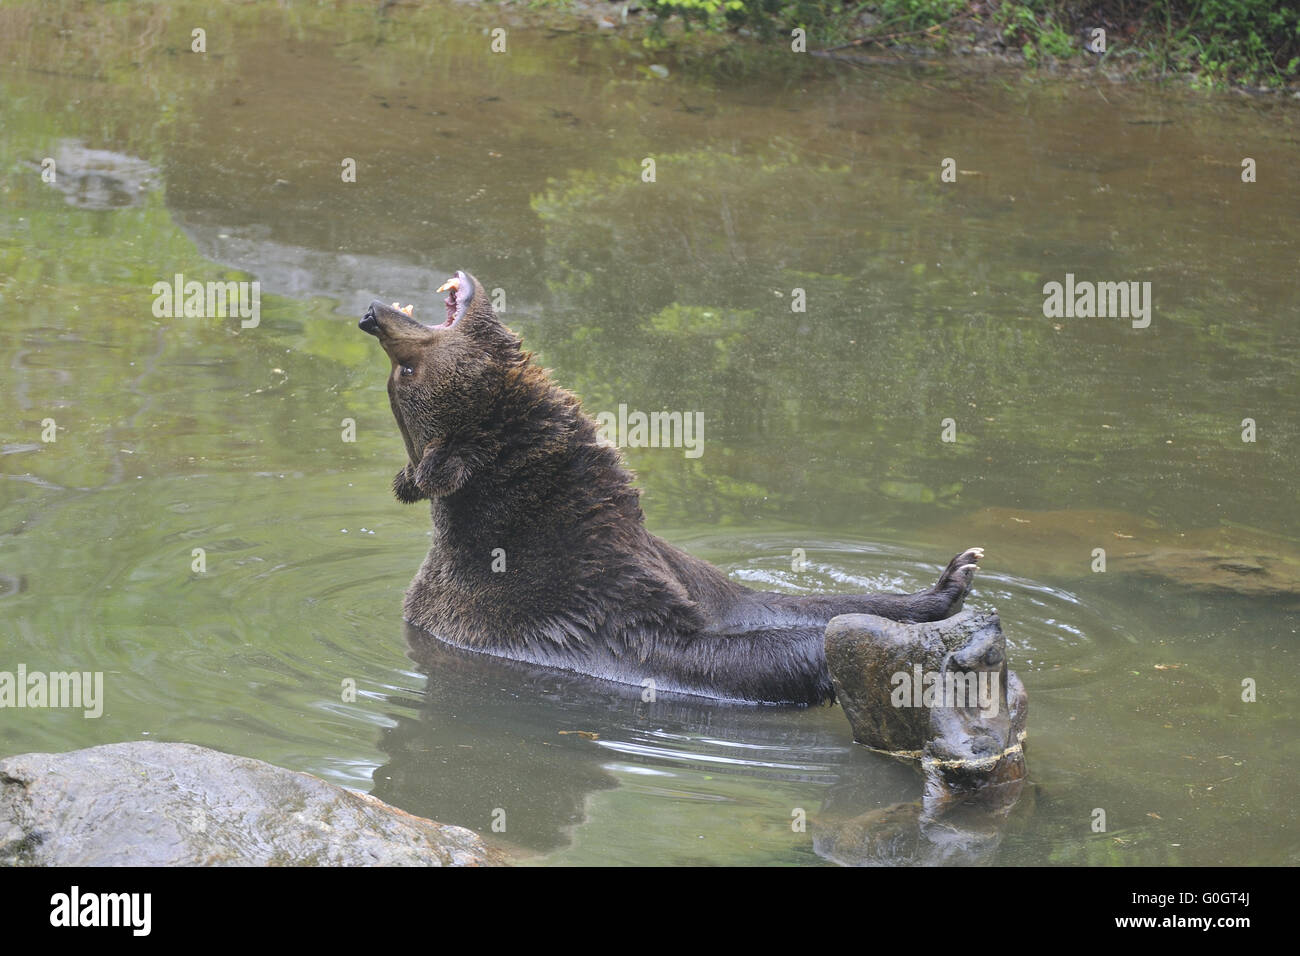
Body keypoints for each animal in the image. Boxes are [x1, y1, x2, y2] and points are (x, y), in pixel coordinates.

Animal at [360, 271, 981, 705]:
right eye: (404, 376)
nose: (371, 315)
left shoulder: (689, 578)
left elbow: (784, 605)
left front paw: (949, 581)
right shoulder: (586, 614)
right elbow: (716, 656)